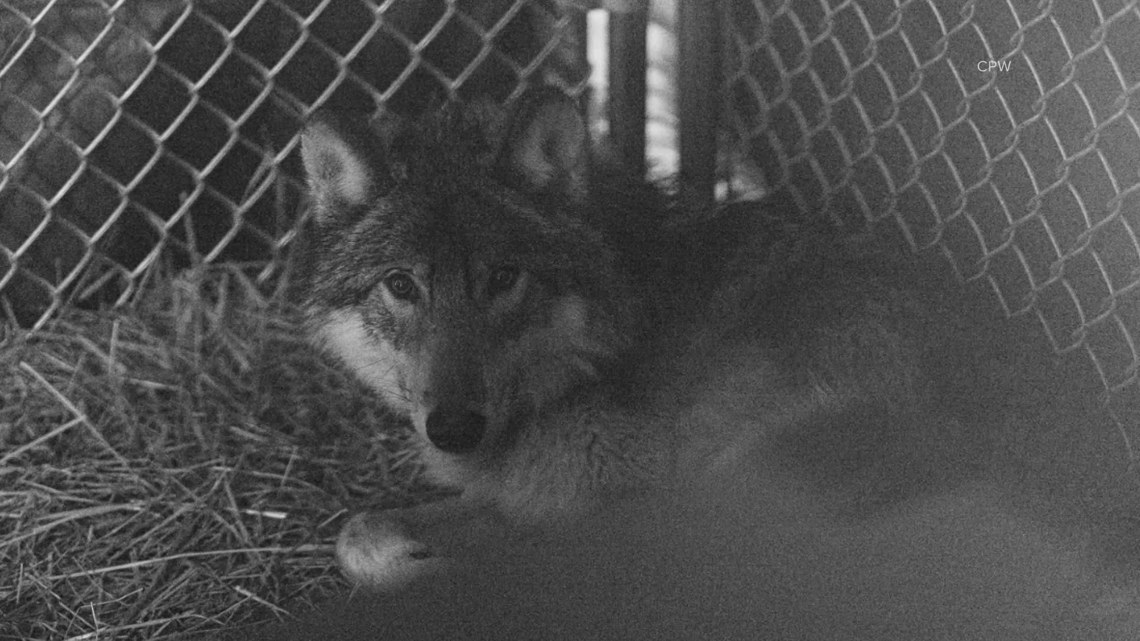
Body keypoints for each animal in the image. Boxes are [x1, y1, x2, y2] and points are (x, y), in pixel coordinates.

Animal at [293, 88, 1127, 597]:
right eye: (401, 285)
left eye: (503, 277)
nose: (454, 427)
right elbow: (362, 527)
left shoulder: (618, 497)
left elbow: (368, 530)